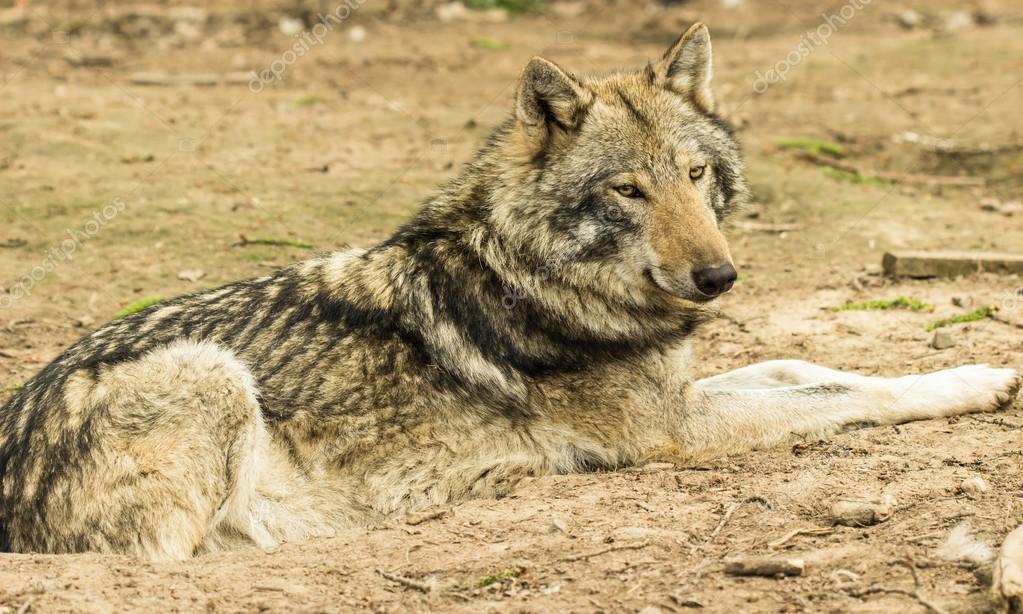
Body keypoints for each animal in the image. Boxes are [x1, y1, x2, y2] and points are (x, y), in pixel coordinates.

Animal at [0, 24, 1018, 560]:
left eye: (695, 176)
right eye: (628, 191)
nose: (719, 276)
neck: (532, 269)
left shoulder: (681, 392)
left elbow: (804, 364)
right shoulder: (675, 434)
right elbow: (847, 391)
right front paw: (975, 381)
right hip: (209, 374)